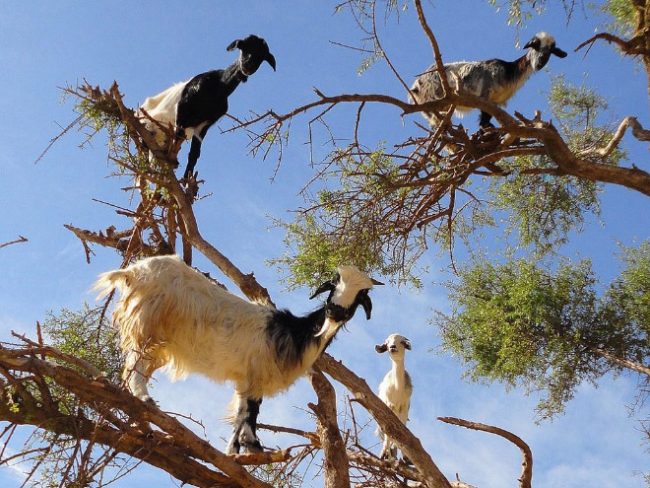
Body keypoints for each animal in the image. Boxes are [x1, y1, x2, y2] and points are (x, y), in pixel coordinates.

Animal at [94, 255, 382, 454]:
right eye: (334, 285)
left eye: (361, 296)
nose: (335, 311)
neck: (297, 332)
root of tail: (132, 271)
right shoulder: (257, 374)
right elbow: (250, 413)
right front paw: (253, 445)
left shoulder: (246, 379)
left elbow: (240, 415)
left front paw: (234, 451)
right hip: (147, 323)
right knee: (134, 364)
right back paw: (144, 397)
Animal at [138, 35, 276, 179]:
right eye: (243, 48)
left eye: (262, 57)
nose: (249, 66)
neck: (218, 88)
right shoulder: (182, 108)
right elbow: (179, 135)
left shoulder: (204, 125)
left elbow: (194, 154)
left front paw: (186, 179)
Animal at [410, 32, 567, 128]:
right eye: (536, 46)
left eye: (550, 52)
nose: (540, 62)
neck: (508, 72)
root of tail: (416, 85)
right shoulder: (486, 94)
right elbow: (484, 117)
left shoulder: (495, 101)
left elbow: (486, 117)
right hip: (435, 99)